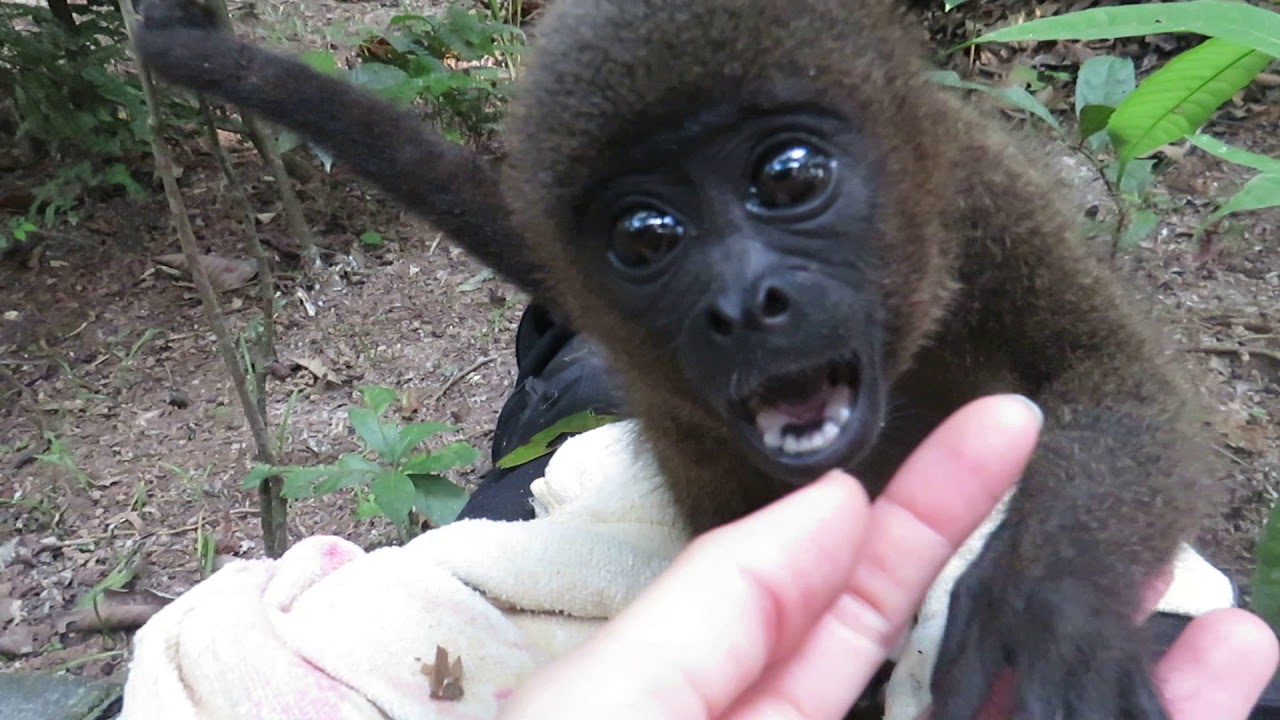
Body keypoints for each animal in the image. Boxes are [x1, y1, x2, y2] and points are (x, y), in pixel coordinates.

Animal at [133, 1, 1217, 718]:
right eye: (646, 236)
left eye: (791, 176)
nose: (743, 303)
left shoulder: (976, 190)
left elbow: (1109, 368)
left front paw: (1053, 602)